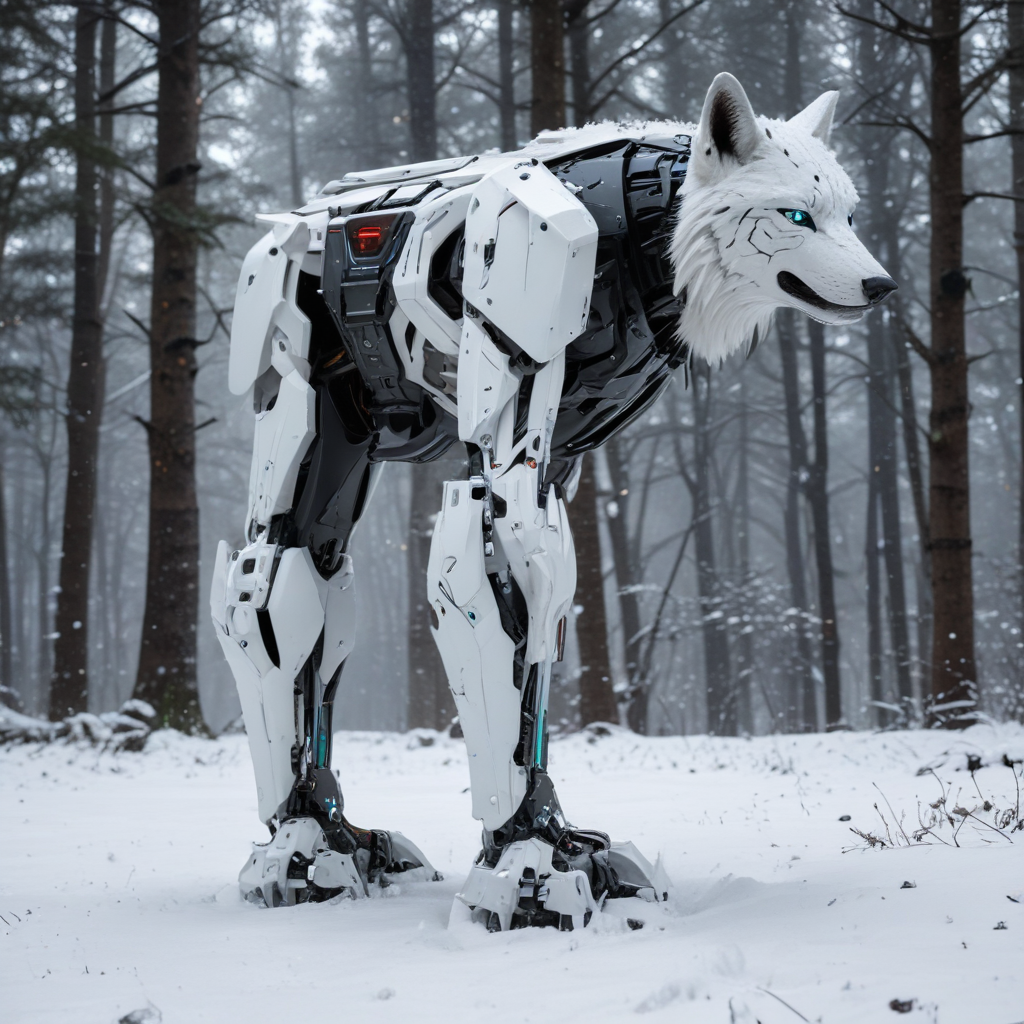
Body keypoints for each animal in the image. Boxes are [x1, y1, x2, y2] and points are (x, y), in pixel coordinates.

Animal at [211, 72, 893, 926]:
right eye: (794, 214)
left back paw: (331, 832)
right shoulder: (517, 376)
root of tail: (295, 222)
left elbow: (543, 595)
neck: (645, 226)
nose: (880, 285)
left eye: (846, 214)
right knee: (269, 561)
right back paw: (297, 844)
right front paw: (527, 859)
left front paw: (553, 843)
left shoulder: (560, 457)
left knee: (311, 563)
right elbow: (495, 554)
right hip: (294, 377)